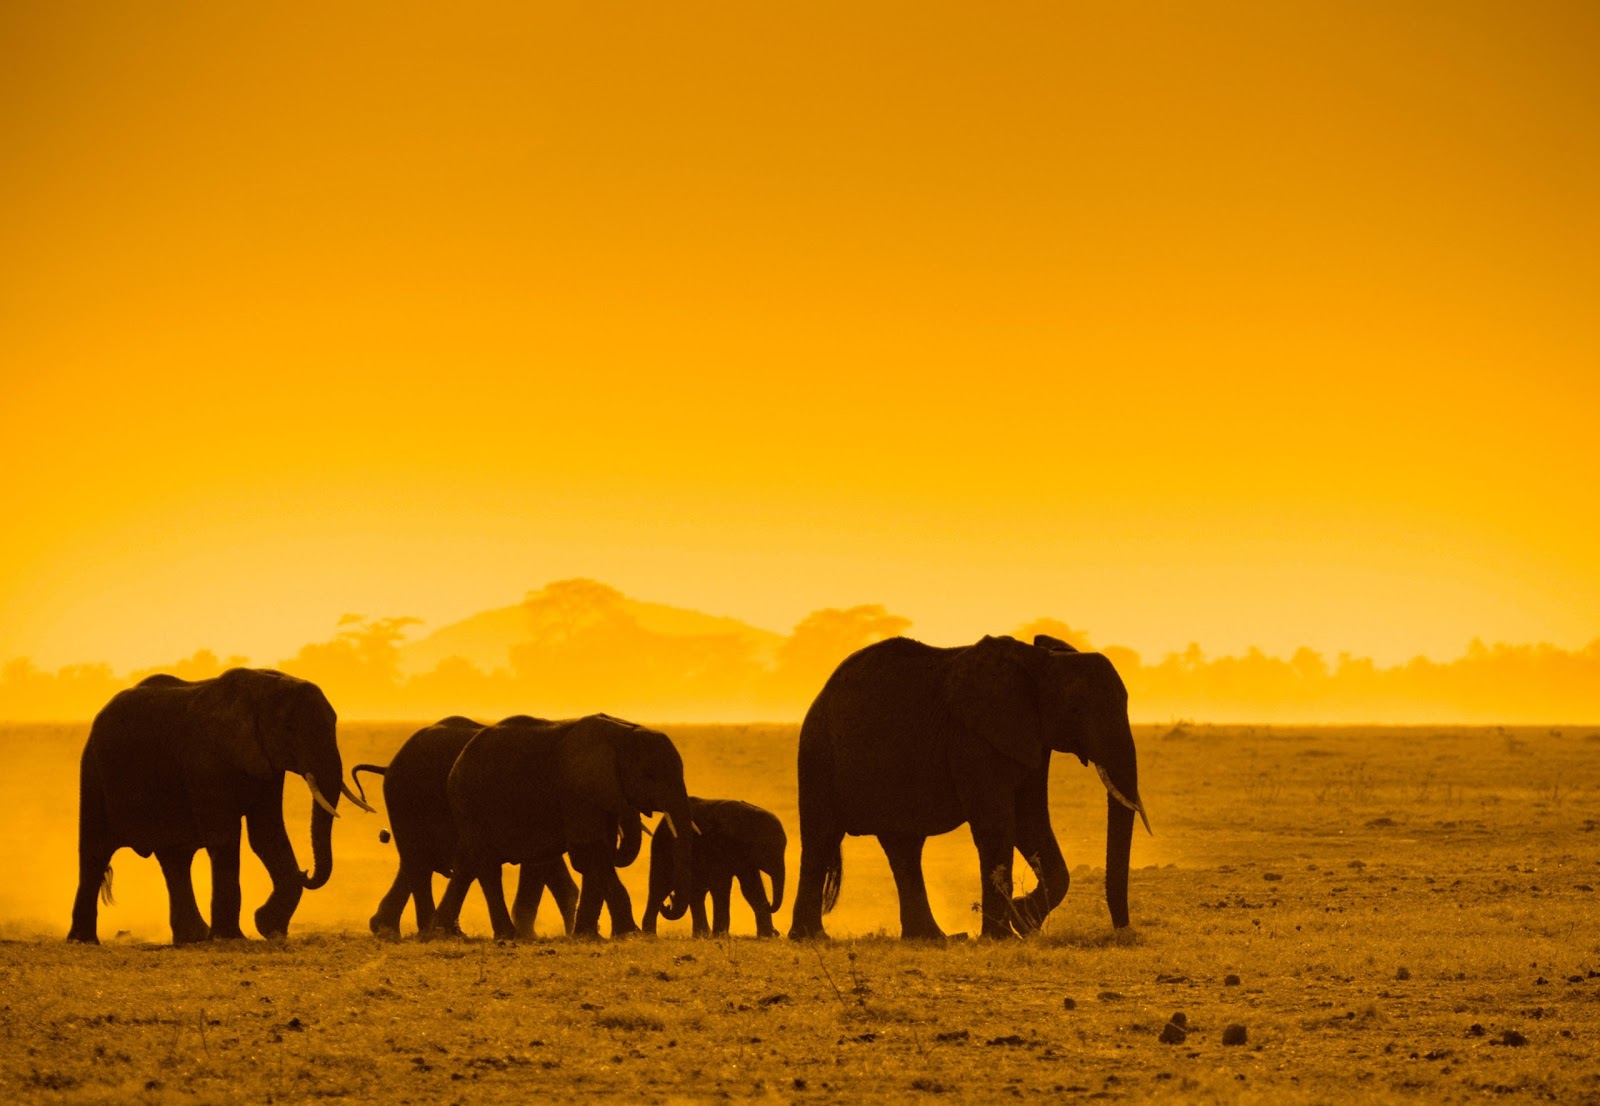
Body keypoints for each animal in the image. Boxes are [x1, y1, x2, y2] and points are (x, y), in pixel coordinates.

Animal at [68, 668, 372, 945]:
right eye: (289, 728)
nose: (306, 873)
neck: (261, 687)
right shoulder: (205, 764)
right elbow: (225, 838)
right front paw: (231, 938)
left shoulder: (265, 766)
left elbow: (268, 835)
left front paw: (269, 928)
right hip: (93, 770)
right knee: (95, 852)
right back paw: (83, 941)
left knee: (174, 859)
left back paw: (192, 938)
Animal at [429, 714, 692, 940]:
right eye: (649, 776)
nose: (669, 901)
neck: (623, 733)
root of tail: (459, 760)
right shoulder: (577, 790)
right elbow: (589, 849)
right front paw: (630, 934)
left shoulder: (598, 795)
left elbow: (597, 852)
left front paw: (588, 936)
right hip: (471, 803)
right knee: (487, 866)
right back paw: (506, 935)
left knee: (466, 864)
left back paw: (444, 934)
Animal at [642, 797, 787, 938]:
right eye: (767, 850)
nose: (769, 905)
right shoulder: (718, 845)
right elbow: (721, 886)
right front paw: (721, 935)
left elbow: (751, 888)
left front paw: (767, 936)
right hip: (661, 847)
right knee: (660, 887)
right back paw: (650, 934)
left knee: (695, 892)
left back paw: (701, 935)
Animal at [788, 634, 1149, 942]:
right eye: (1075, 709)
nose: (1123, 933)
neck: (1040, 661)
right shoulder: (973, 737)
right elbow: (997, 825)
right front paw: (1005, 936)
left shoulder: (1029, 736)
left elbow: (1029, 821)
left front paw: (1023, 922)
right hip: (818, 753)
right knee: (822, 837)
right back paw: (812, 938)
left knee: (904, 847)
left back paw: (934, 939)